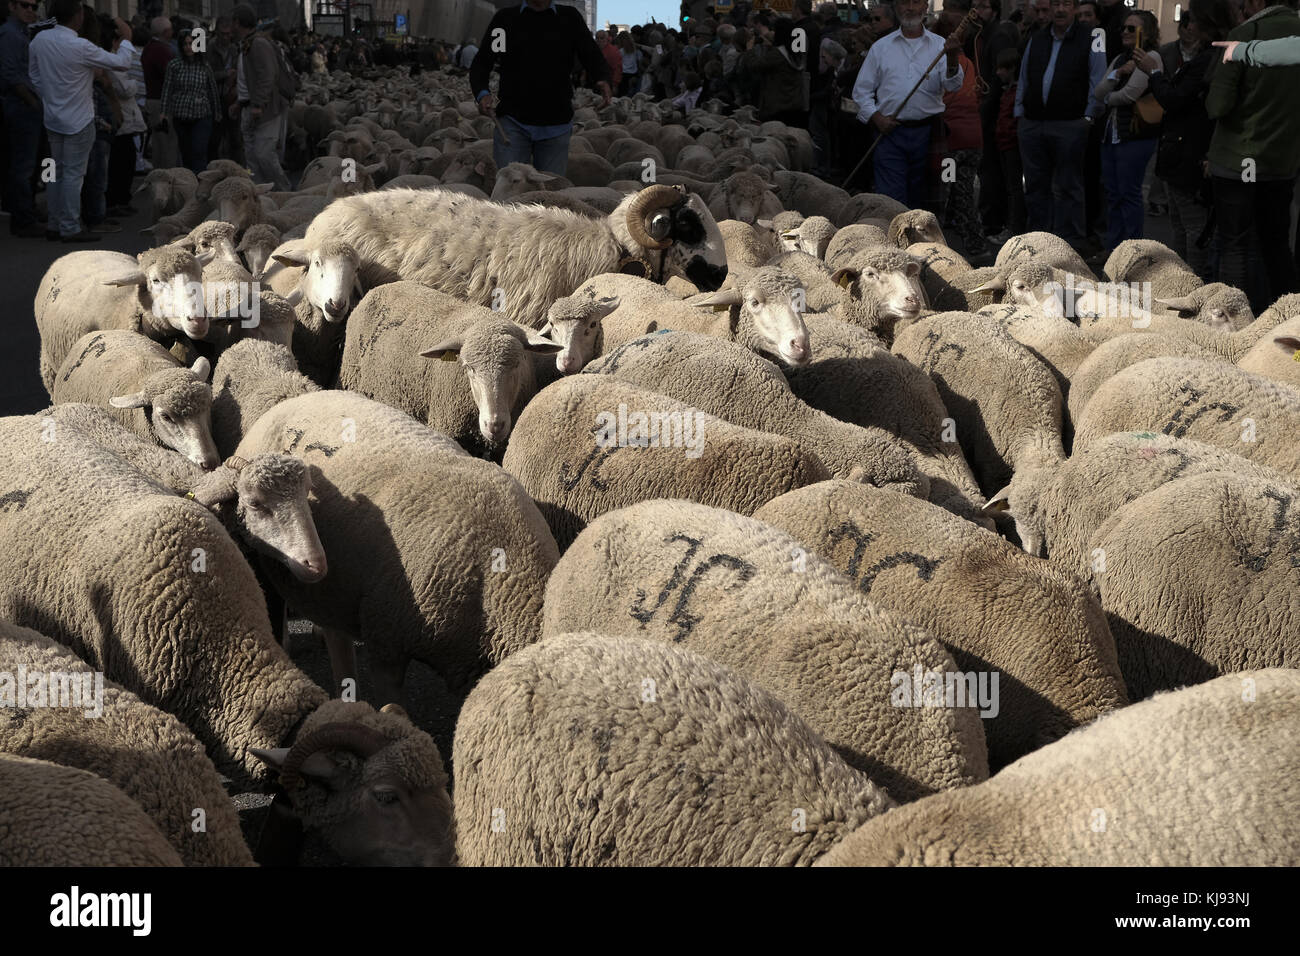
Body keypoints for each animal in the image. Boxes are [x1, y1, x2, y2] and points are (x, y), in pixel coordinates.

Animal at [35, 248, 208, 394]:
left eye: (200, 274)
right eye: (155, 280)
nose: (198, 319)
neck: (127, 306)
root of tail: (77, 252)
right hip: (48, 367)